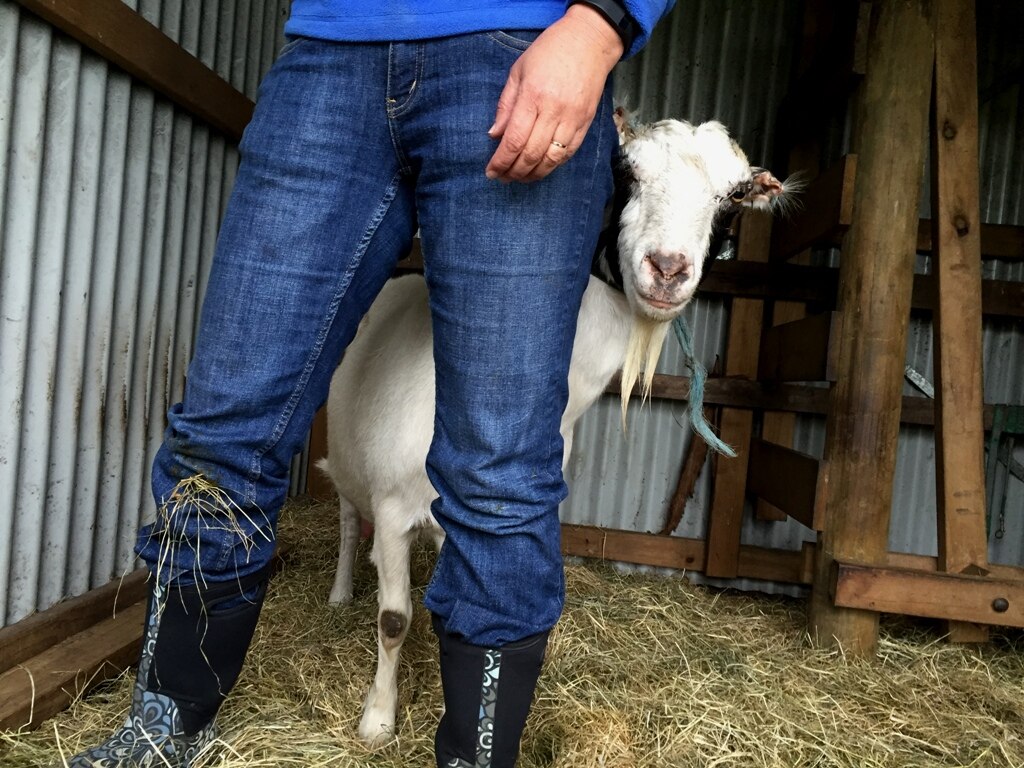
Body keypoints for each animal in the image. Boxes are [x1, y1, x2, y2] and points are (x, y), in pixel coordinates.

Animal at [317, 109, 788, 745]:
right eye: (625, 173)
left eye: (733, 196)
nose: (667, 269)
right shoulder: (392, 508)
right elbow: (394, 618)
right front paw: (377, 719)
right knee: (347, 520)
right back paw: (341, 593)